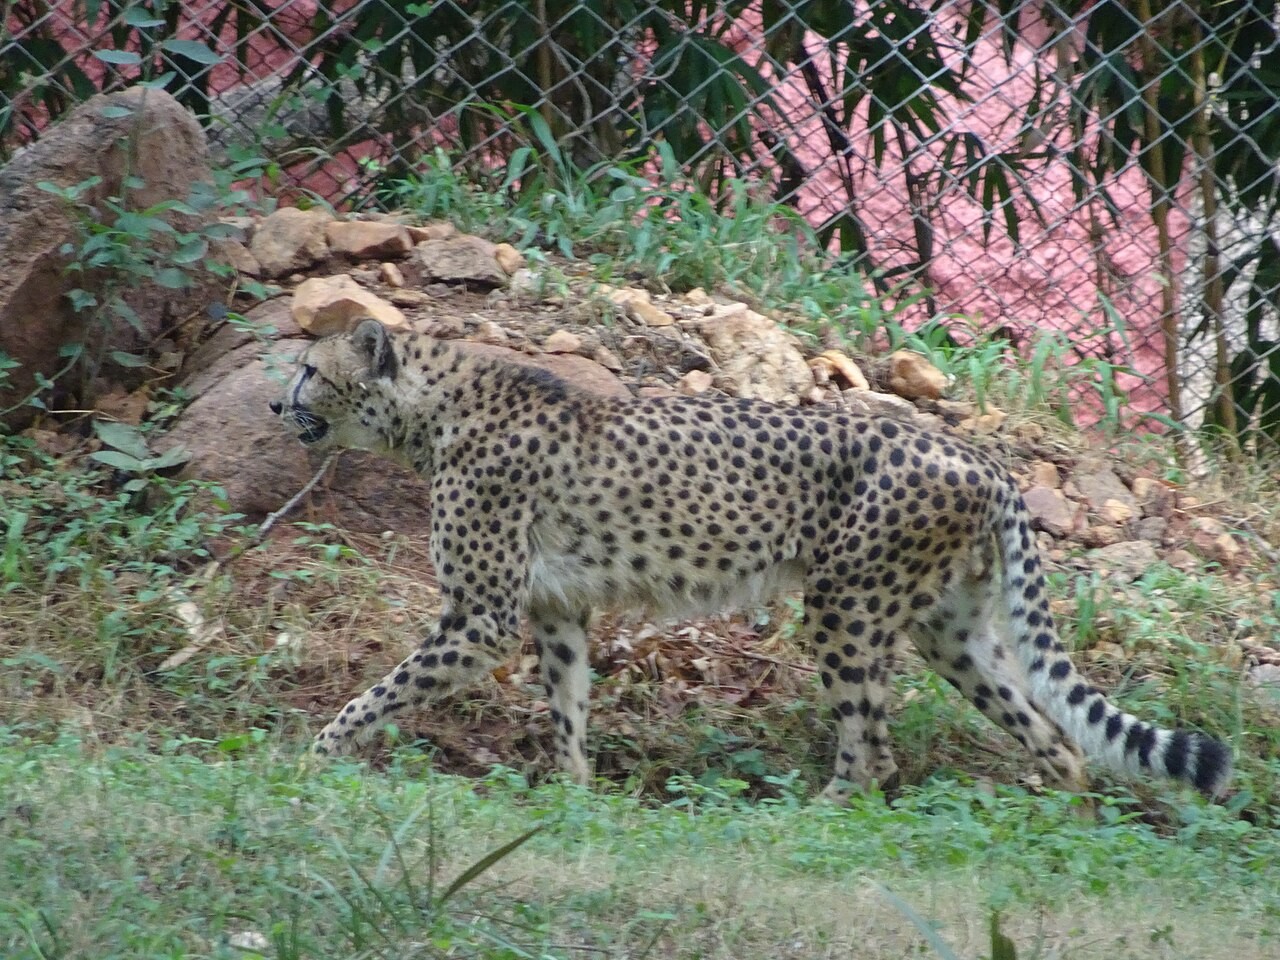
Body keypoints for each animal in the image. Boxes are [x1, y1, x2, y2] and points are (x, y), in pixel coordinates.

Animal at [270, 318, 1232, 801]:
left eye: (310, 368)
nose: (281, 405)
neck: (430, 412)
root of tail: (981, 457)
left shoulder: (481, 618)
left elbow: (383, 689)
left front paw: (315, 753)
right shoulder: (556, 610)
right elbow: (570, 703)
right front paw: (573, 797)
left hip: (848, 605)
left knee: (871, 753)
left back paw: (816, 821)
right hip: (951, 633)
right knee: (1051, 737)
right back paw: (1046, 823)